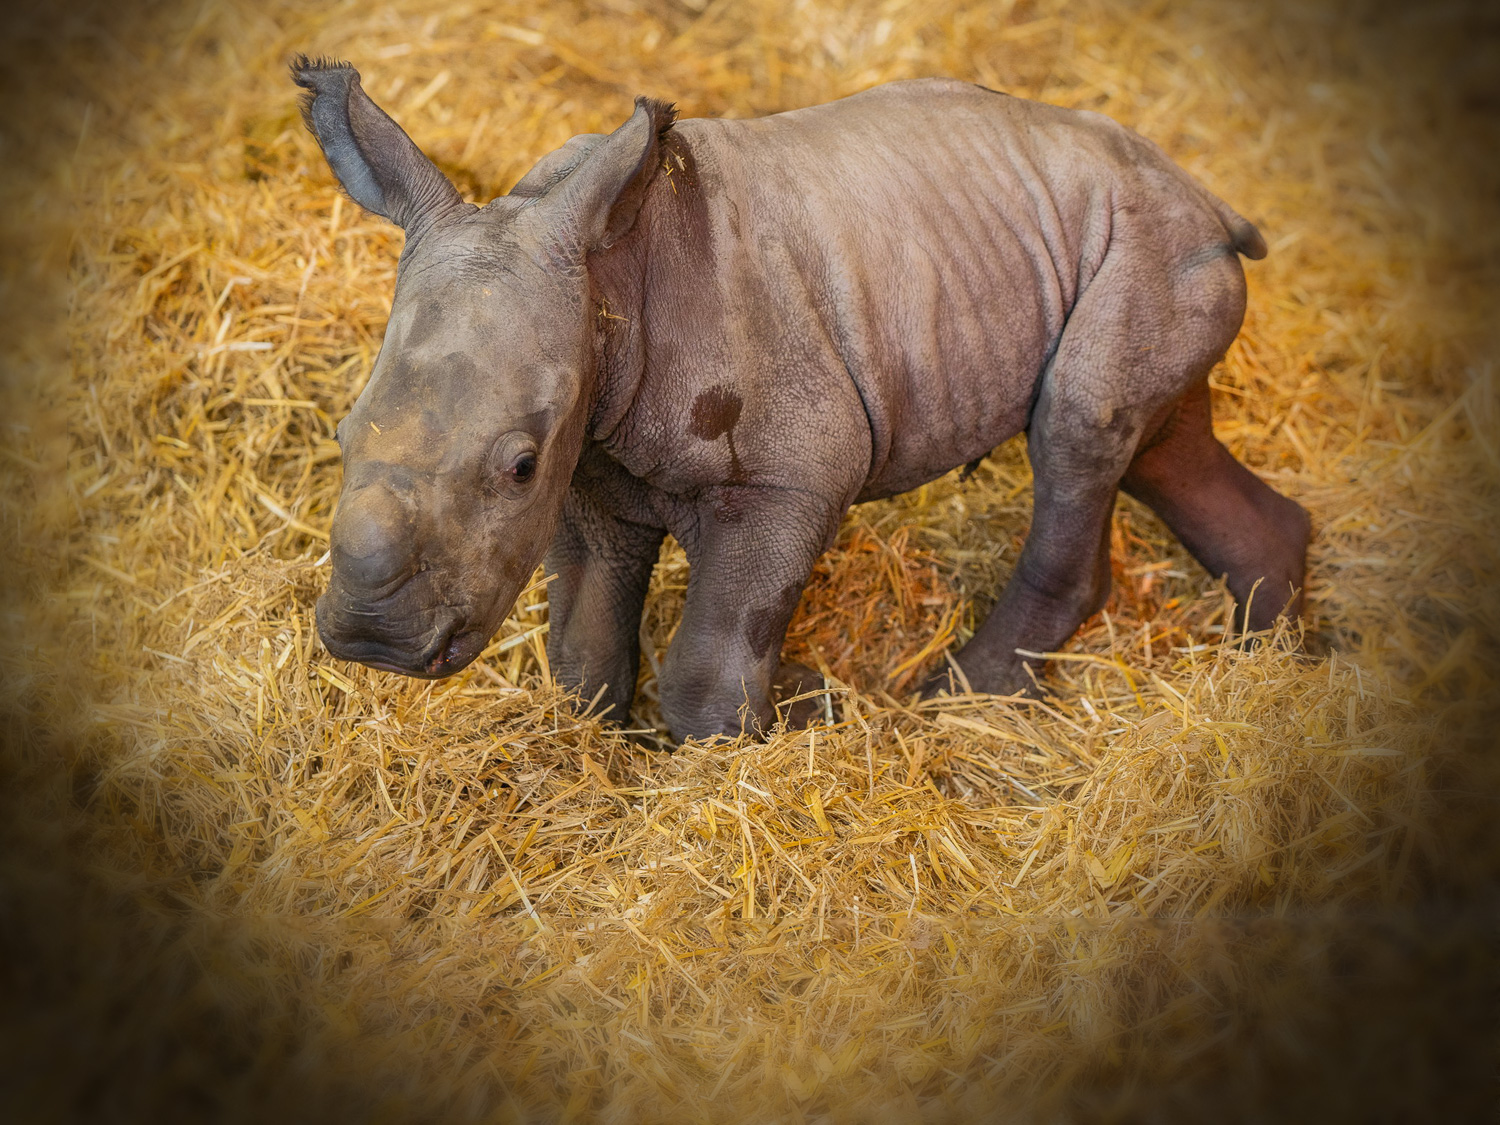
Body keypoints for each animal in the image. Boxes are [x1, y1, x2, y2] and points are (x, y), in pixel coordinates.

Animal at [294, 57, 1310, 743]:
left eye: (516, 464)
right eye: (340, 435)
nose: (373, 640)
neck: (606, 279)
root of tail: (1209, 199)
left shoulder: (786, 477)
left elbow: (708, 668)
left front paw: (727, 764)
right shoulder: (590, 471)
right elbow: (582, 650)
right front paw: (594, 751)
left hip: (1142, 238)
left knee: (1079, 426)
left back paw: (951, 707)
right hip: (1147, 250)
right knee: (1158, 443)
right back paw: (1280, 659)